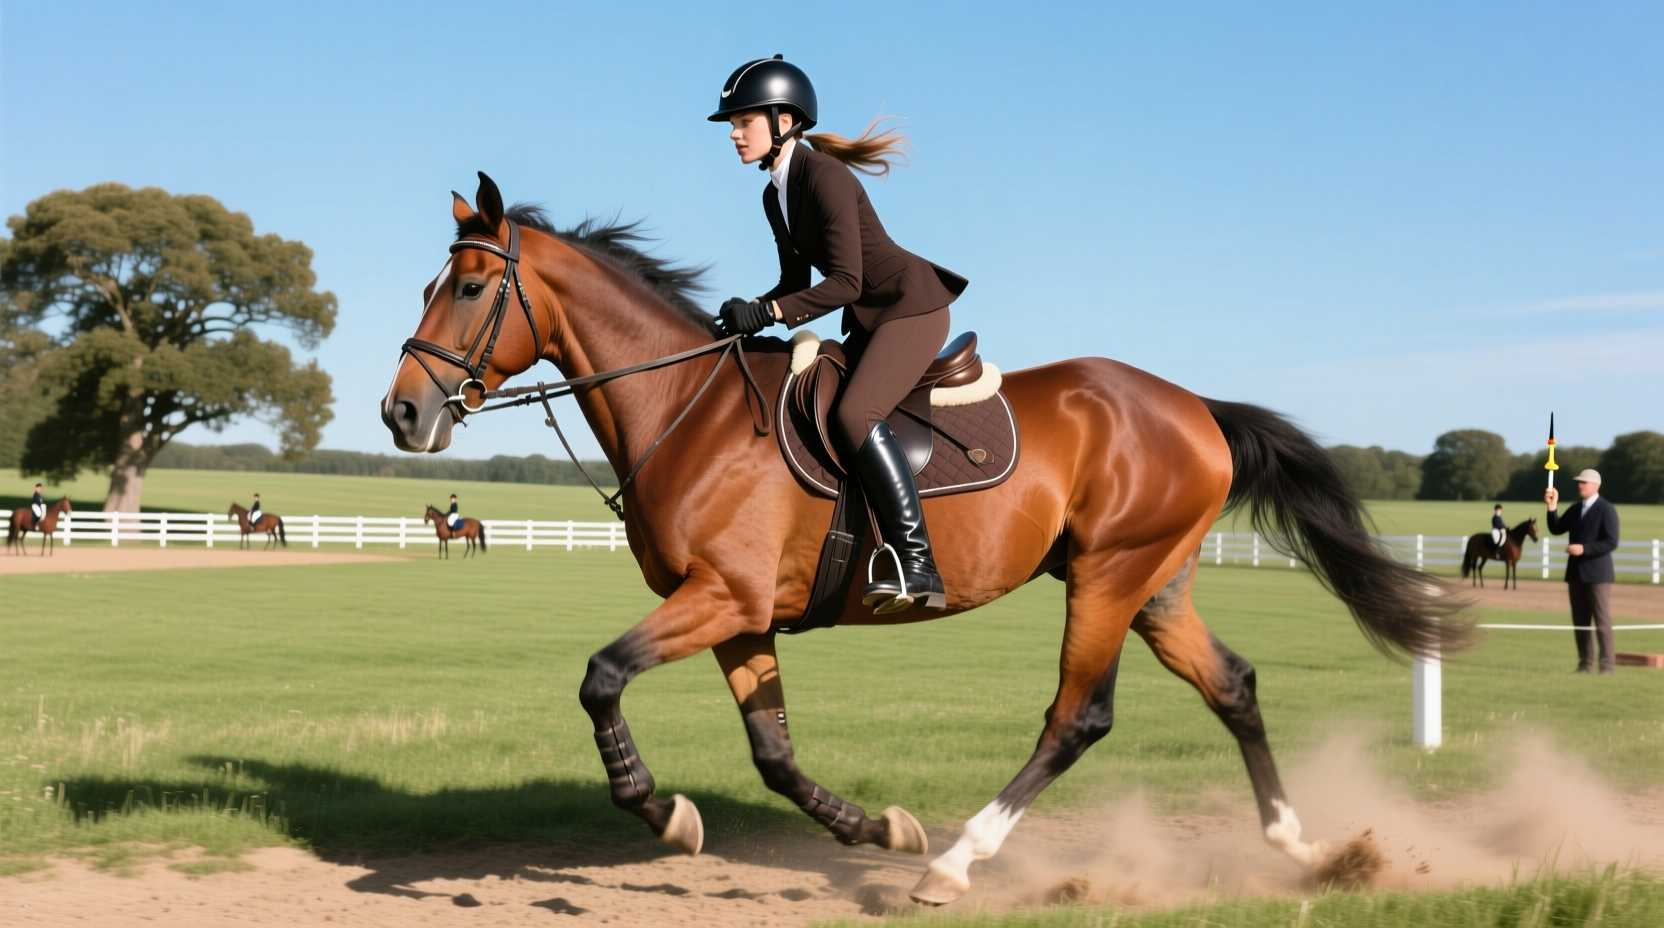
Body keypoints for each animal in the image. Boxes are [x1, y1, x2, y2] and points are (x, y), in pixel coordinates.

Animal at [380, 174, 1466, 905]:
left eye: (467, 289)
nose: (401, 414)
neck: (686, 410)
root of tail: (1194, 406)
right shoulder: (739, 612)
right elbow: (773, 753)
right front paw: (877, 827)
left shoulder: (718, 598)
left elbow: (602, 675)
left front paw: (662, 808)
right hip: (1153, 582)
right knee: (1230, 685)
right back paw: (1306, 851)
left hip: (1107, 576)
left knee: (1075, 717)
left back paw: (955, 863)